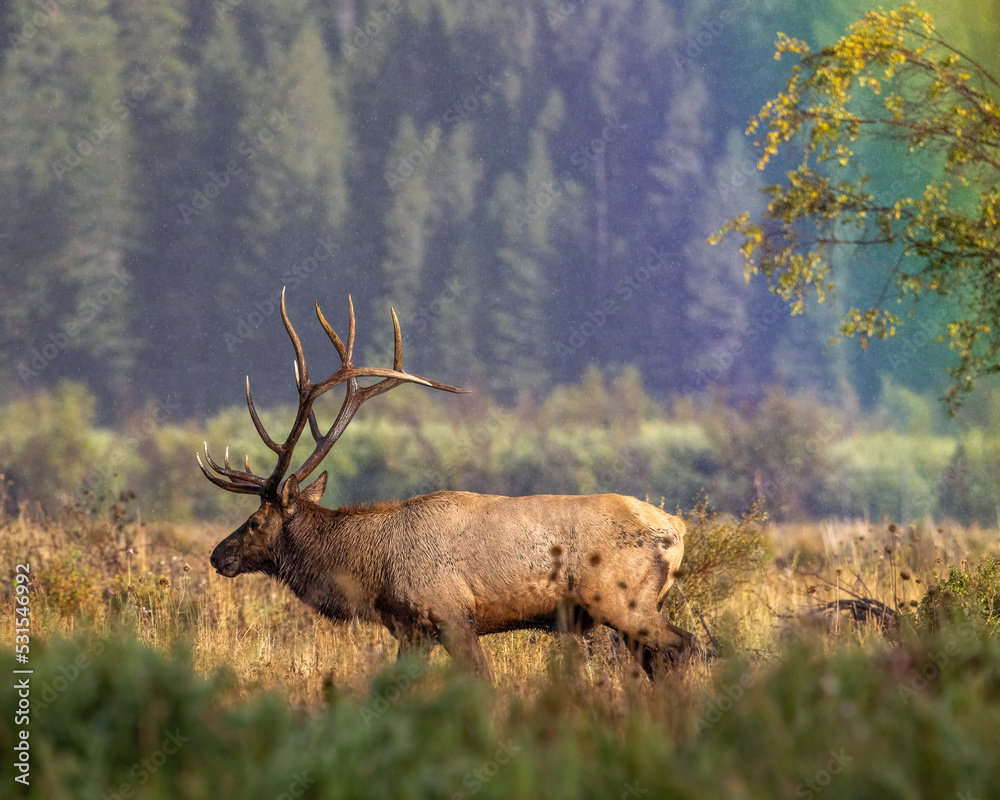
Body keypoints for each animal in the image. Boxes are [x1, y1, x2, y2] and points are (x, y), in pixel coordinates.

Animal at [199, 290, 694, 679]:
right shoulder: (411, 629)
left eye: (255, 521)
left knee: (681, 646)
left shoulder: (452, 615)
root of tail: (676, 529)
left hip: (622, 601)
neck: (371, 571)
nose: (217, 555)